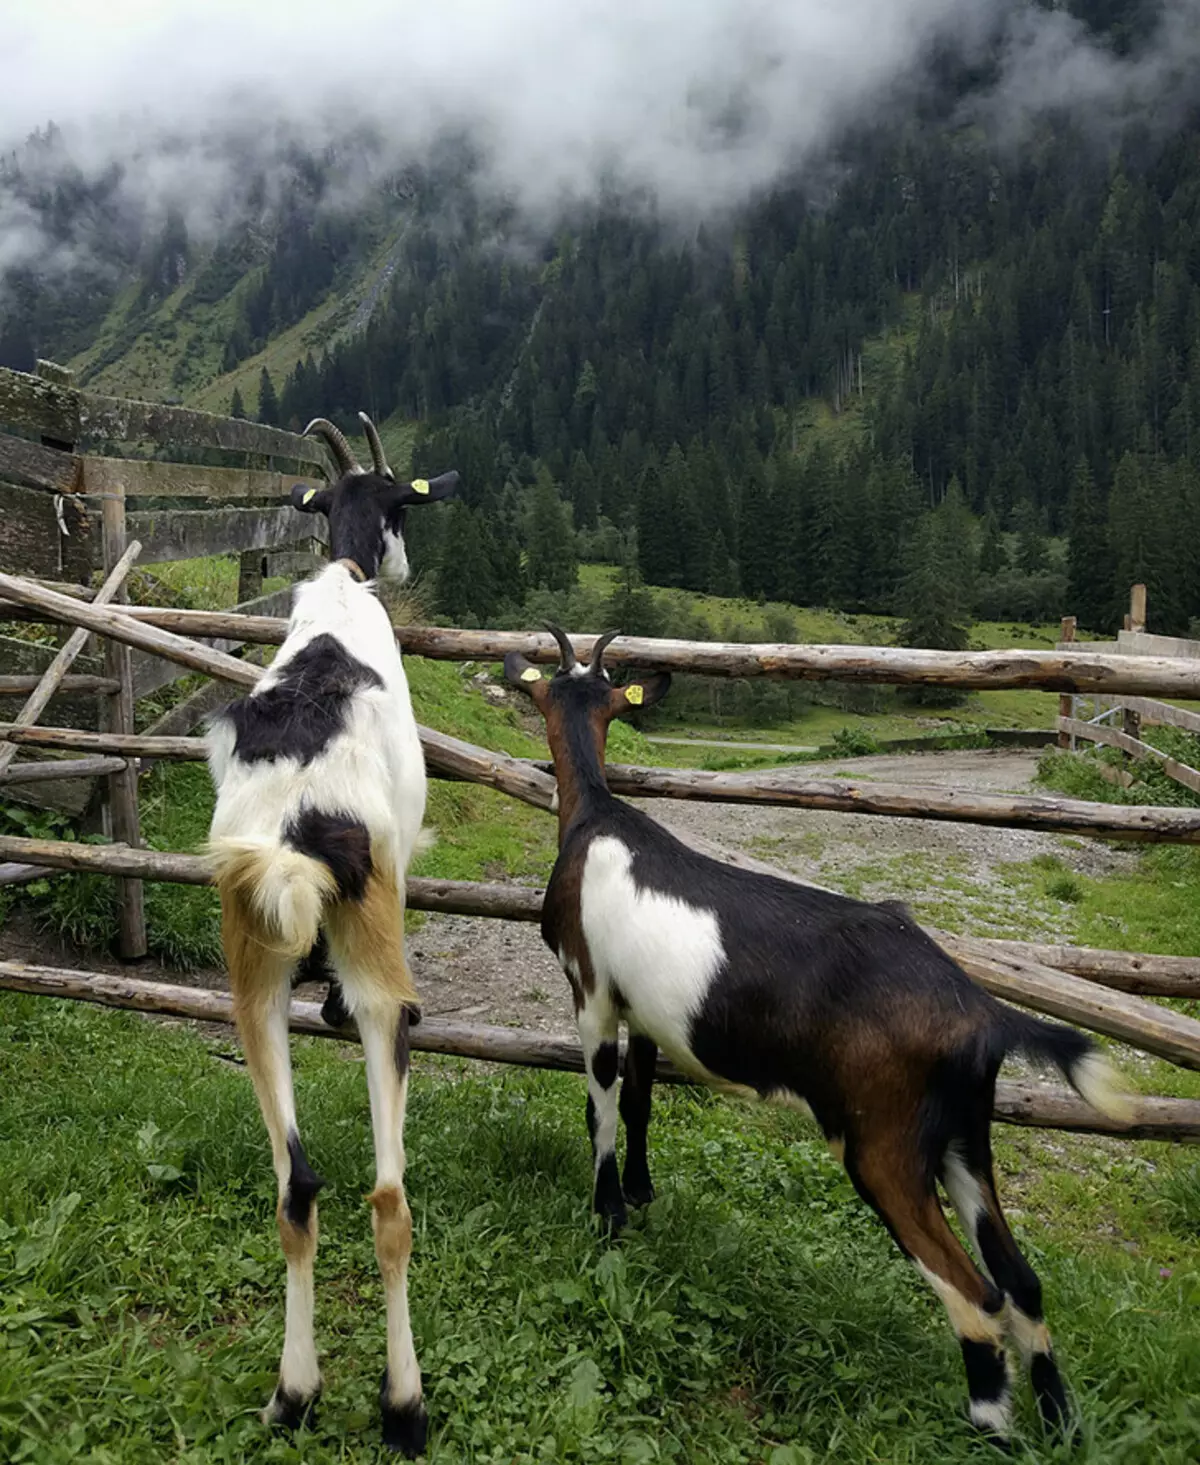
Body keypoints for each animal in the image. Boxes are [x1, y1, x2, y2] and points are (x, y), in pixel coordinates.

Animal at [504, 624, 1136, 1447]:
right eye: (573, 691)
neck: (596, 820)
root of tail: (984, 1013)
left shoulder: (592, 992)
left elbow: (602, 1109)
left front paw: (607, 1214)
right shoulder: (643, 1010)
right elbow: (641, 1103)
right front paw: (641, 1196)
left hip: (882, 1145)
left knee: (975, 1290)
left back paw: (990, 1426)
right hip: (964, 1134)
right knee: (1021, 1279)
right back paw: (1059, 1423)